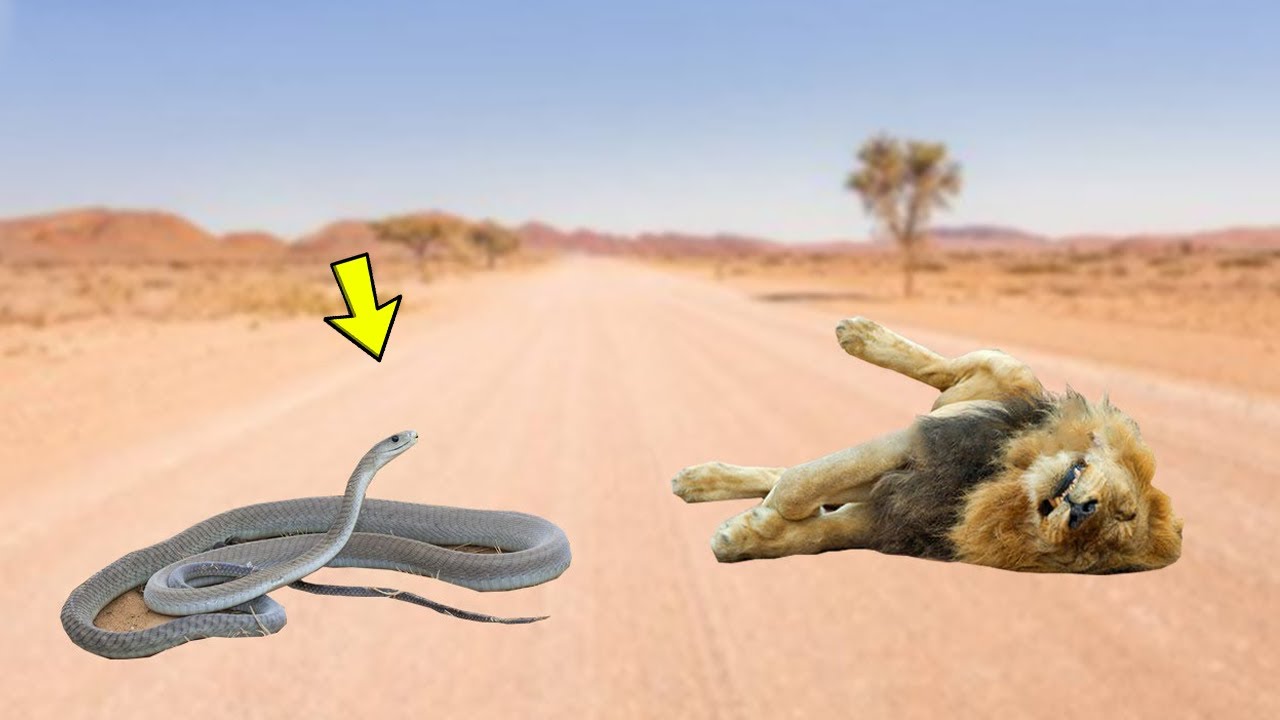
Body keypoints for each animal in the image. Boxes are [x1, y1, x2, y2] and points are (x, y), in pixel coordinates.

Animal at [672, 317, 1183, 574]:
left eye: (1095, 543)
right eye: (1125, 511)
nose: (1082, 512)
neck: (1001, 484)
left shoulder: (892, 518)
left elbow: (818, 531)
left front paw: (746, 535)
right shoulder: (923, 442)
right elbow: (804, 483)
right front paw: (770, 513)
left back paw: (701, 481)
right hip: (1009, 373)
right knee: (943, 368)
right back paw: (859, 333)